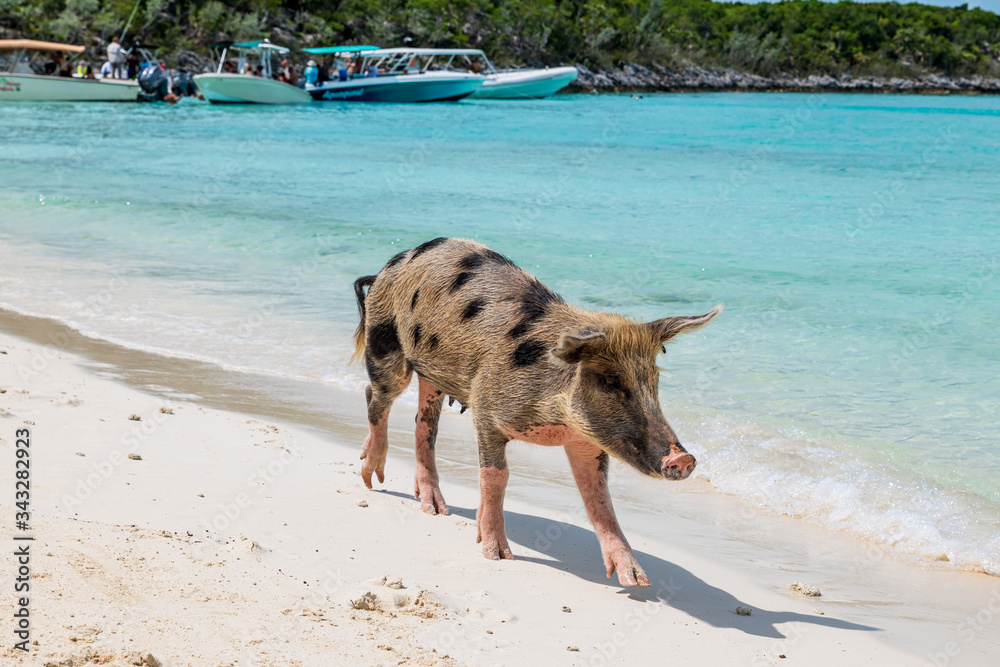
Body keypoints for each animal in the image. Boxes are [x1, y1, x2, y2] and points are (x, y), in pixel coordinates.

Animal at [352, 237, 721, 587]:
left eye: (654, 382)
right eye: (611, 382)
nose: (683, 458)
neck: (556, 421)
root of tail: (390, 265)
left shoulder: (585, 442)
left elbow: (599, 497)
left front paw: (636, 580)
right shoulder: (486, 409)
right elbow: (496, 476)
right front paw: (496, 554)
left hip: (432, 373)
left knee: (424, 424)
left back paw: (434, 509)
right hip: (385, 344)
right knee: (376, 397)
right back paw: (372, 479)